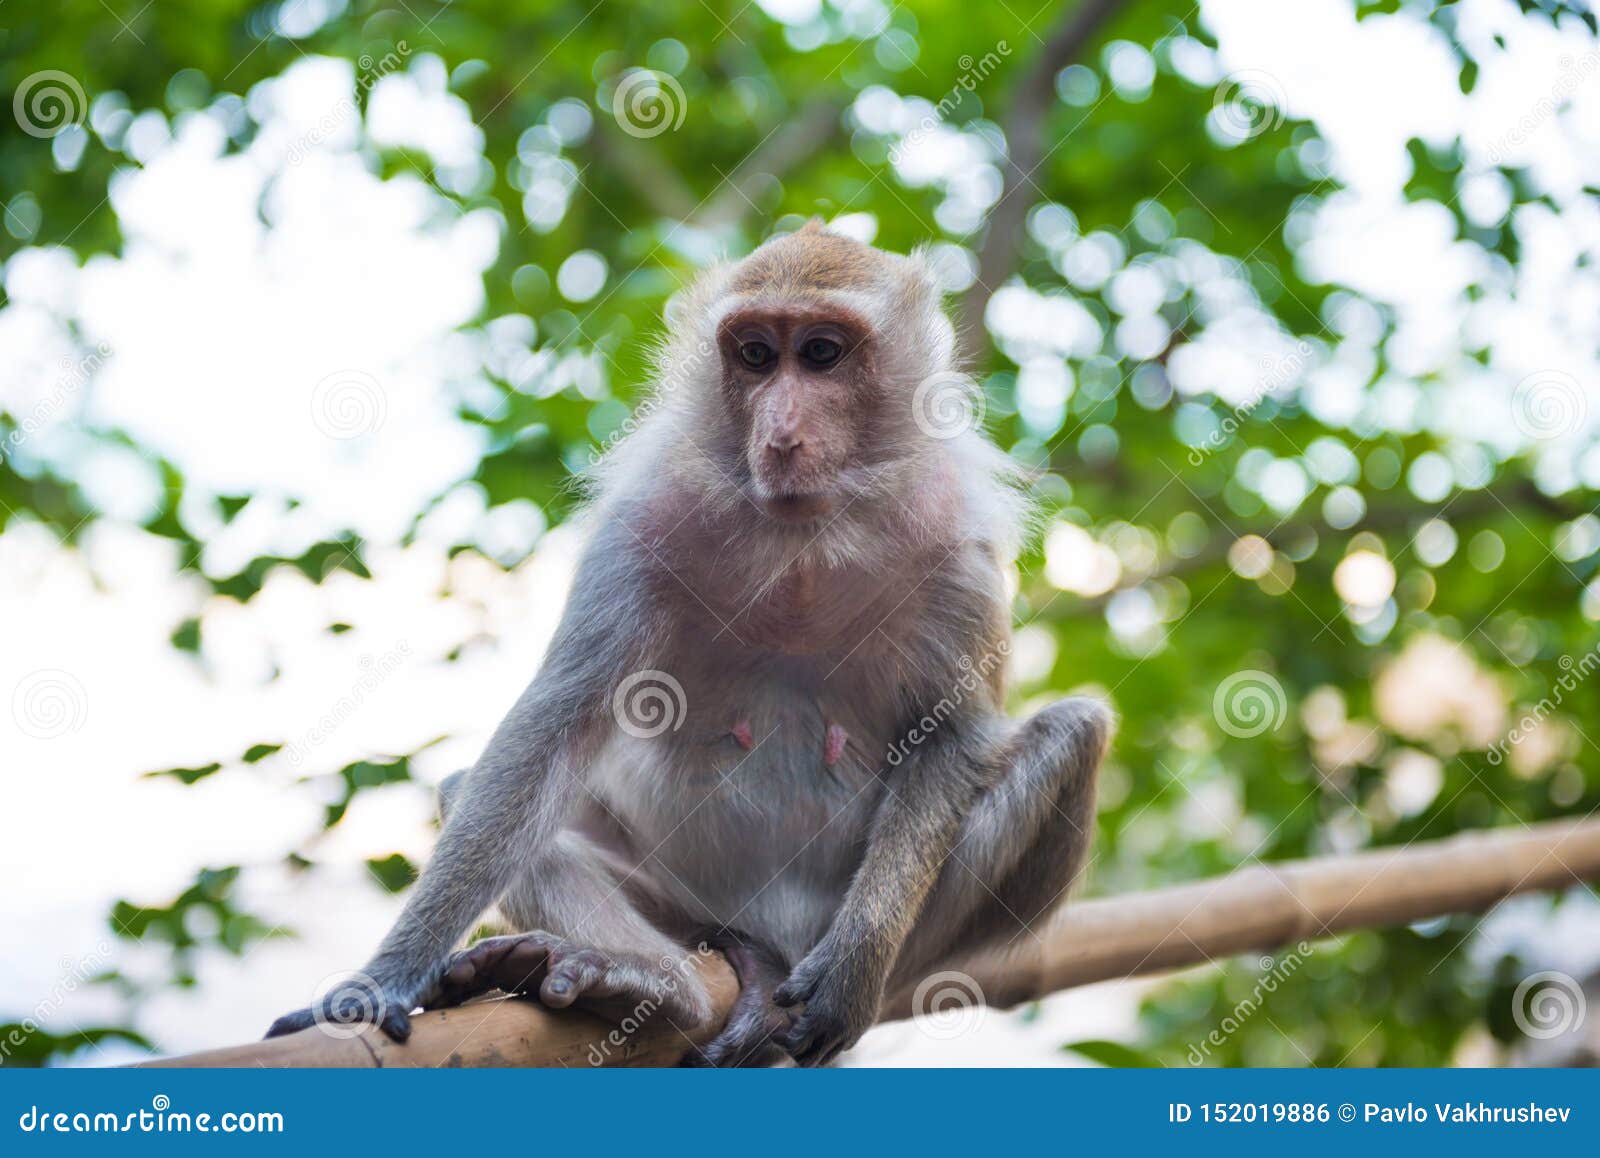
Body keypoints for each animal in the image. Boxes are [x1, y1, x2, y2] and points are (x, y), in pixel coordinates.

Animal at [265, 220, 1113, 1066]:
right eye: (757, 356)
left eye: (822, 353)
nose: (782, 433)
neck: (803, 537)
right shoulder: (640, 521)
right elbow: (551, 730)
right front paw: (385, 978)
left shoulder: (957, 539)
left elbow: (952, 732)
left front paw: (859, 958)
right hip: (687, 908)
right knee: (479, 791)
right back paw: (648, 983)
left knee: (1074, 733)